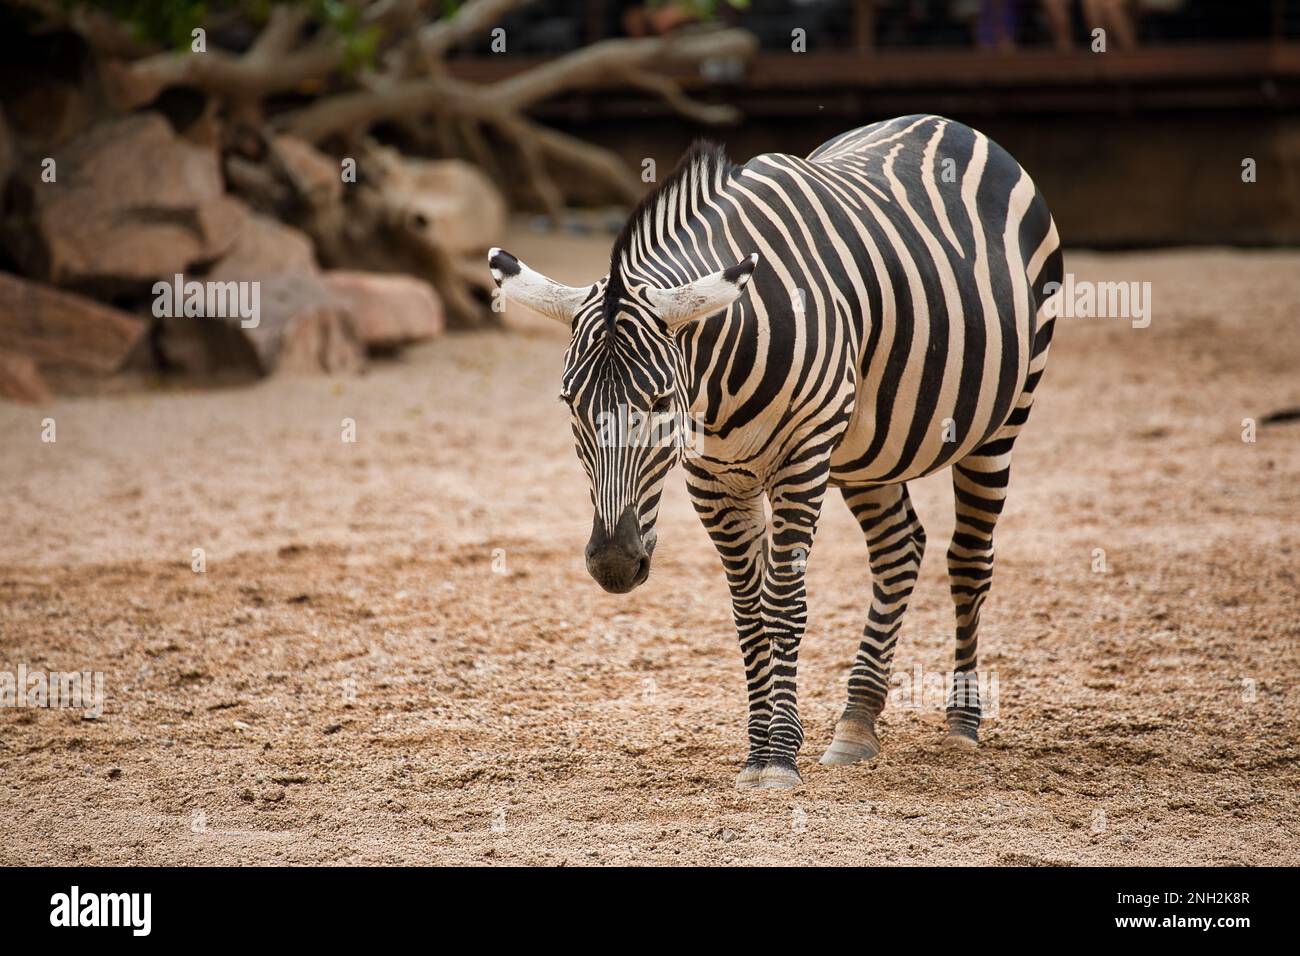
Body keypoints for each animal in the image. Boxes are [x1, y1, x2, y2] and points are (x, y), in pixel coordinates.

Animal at [488, 114, 1063, 789]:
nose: (613, 565)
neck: (719, 380)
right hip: (866, 449)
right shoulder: (712, 478)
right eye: (570, 405)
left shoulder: (803, 457)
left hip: (1001, 418)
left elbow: (783, 602)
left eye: (660, 401)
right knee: (900, 551)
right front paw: (757, 751)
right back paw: (856, 724)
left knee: (969, 559)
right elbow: (747, 610)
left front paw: (781, 756)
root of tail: (945, 123)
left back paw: (962, 722)